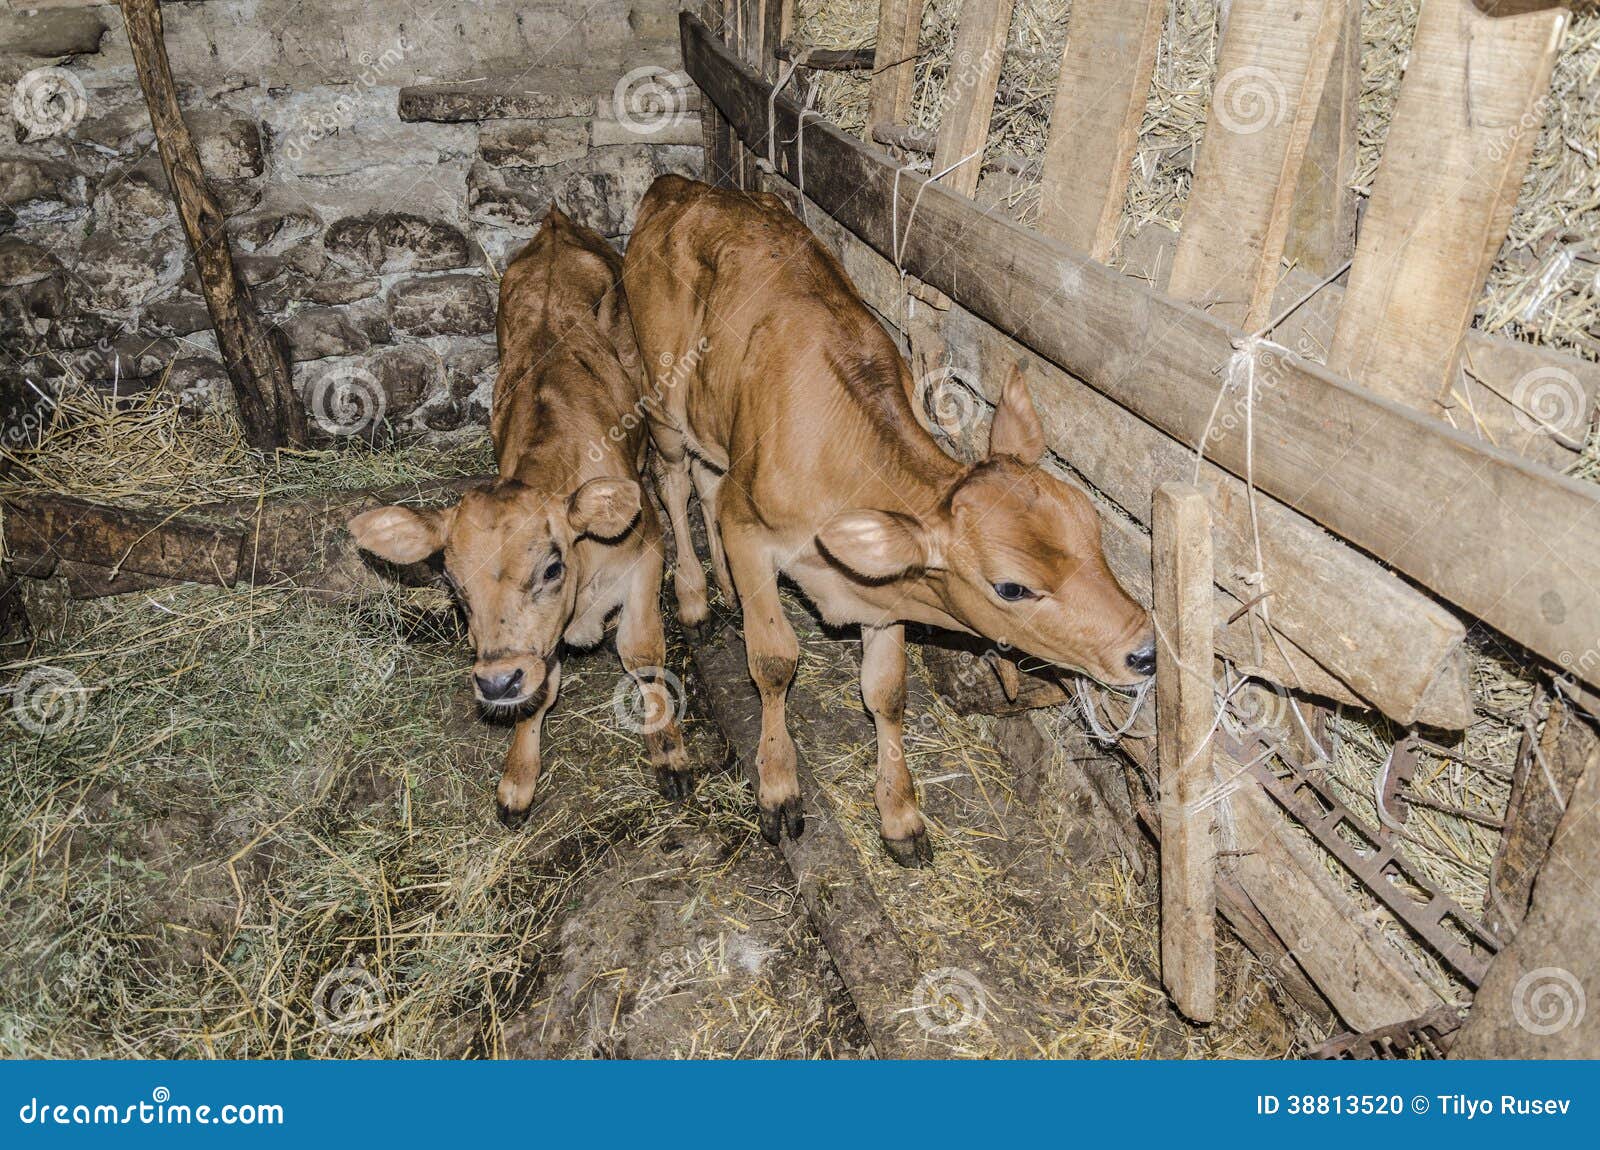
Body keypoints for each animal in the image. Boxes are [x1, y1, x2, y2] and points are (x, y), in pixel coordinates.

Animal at [348, 206, 690, 827]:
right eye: (453, 585)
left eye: (551, 569)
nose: (495, 681)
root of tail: (555, 223)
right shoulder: (533, 648)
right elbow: (540, 688)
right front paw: (518, 777)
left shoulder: (647, 551)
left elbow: (642, 653)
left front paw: (667, 750)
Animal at [622, 175, 1153, 867]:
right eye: (1012, 587)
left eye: (1093, 527)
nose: (1145, 651)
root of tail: (679, 186)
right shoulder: (750, 530)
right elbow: (773, 662)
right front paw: (778, 786)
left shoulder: (885, 587)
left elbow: (887, 692)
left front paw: (900, 815)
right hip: (663, 403)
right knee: (676, 482)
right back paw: (693, 597)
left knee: (708, 486)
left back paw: (726, 591)